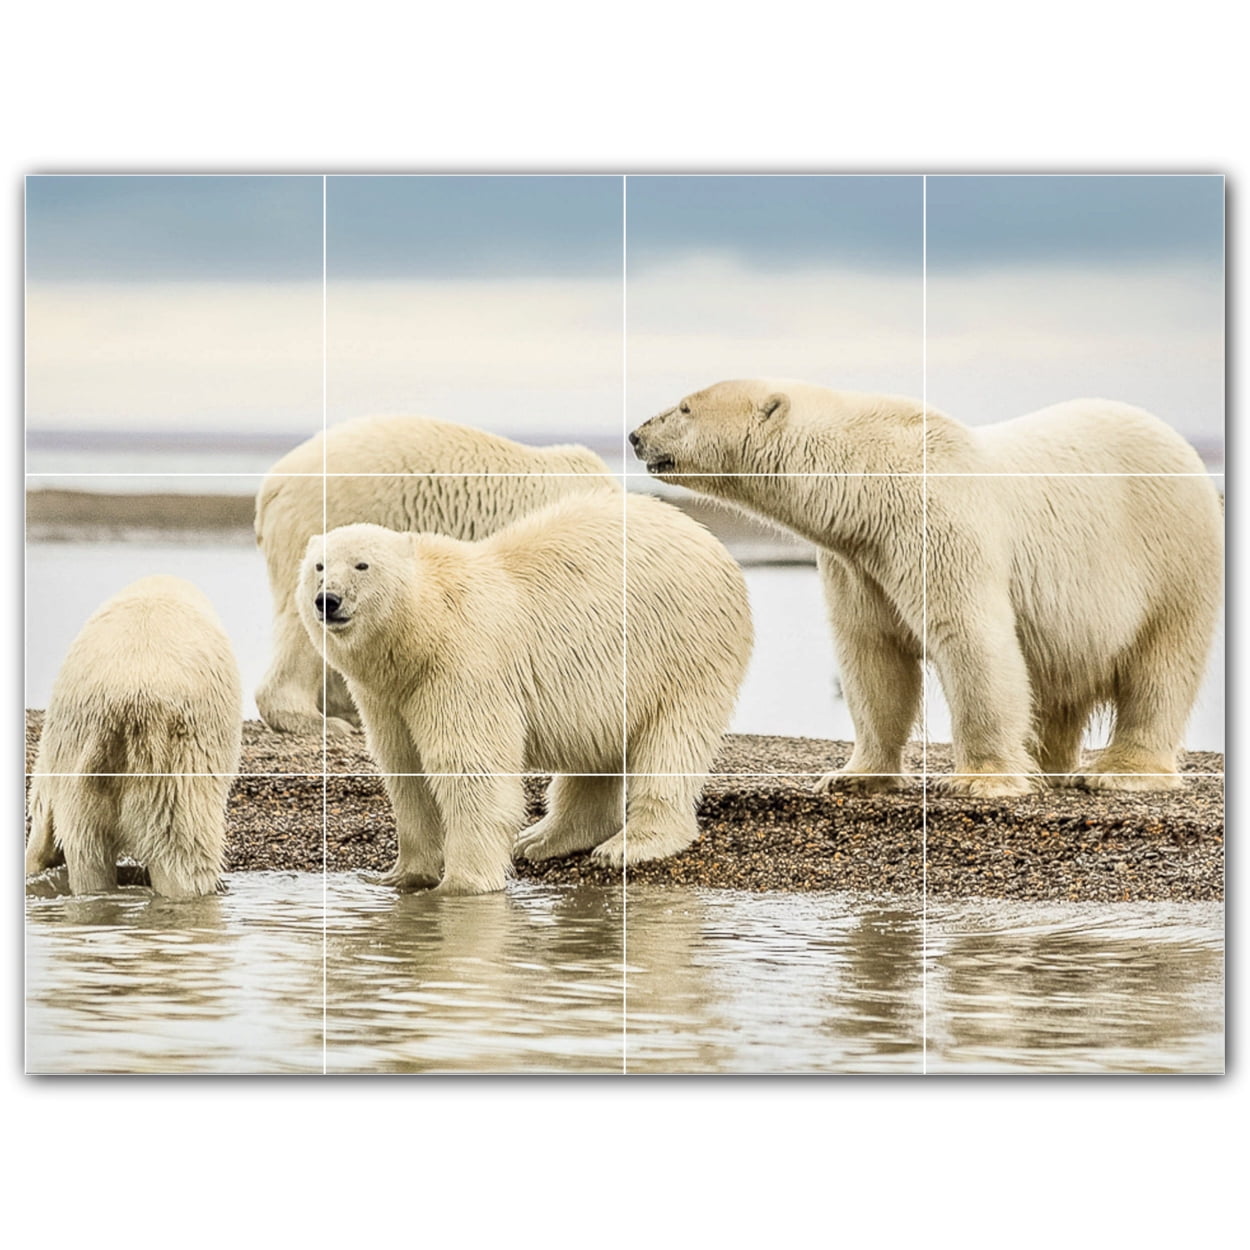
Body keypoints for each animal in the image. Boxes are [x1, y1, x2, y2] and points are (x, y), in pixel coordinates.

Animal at [296, 492, 753, 895]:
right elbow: (404, 768)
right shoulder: (387, 694)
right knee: (596, 751)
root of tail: (707, 538)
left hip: (682, 648)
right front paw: (402, 875)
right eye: (319, 566)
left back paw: (628, 845)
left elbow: (470, 768)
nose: (328, 600)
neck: (422, 630)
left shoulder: (462, 667)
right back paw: (543, 839)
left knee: (672, 740)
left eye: (362, 565)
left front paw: (462, 884)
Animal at [630, 379, 1222, 796]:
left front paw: (978, 780)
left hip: (1173, 556)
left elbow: (971, 638)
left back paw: (1119, 770)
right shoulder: (857, 561)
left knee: (1161, 666)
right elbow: (872, 655)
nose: (636, 435)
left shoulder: (937, 527)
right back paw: (1048, 762)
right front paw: (853, 776)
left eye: (684, 407)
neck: (870, 479)